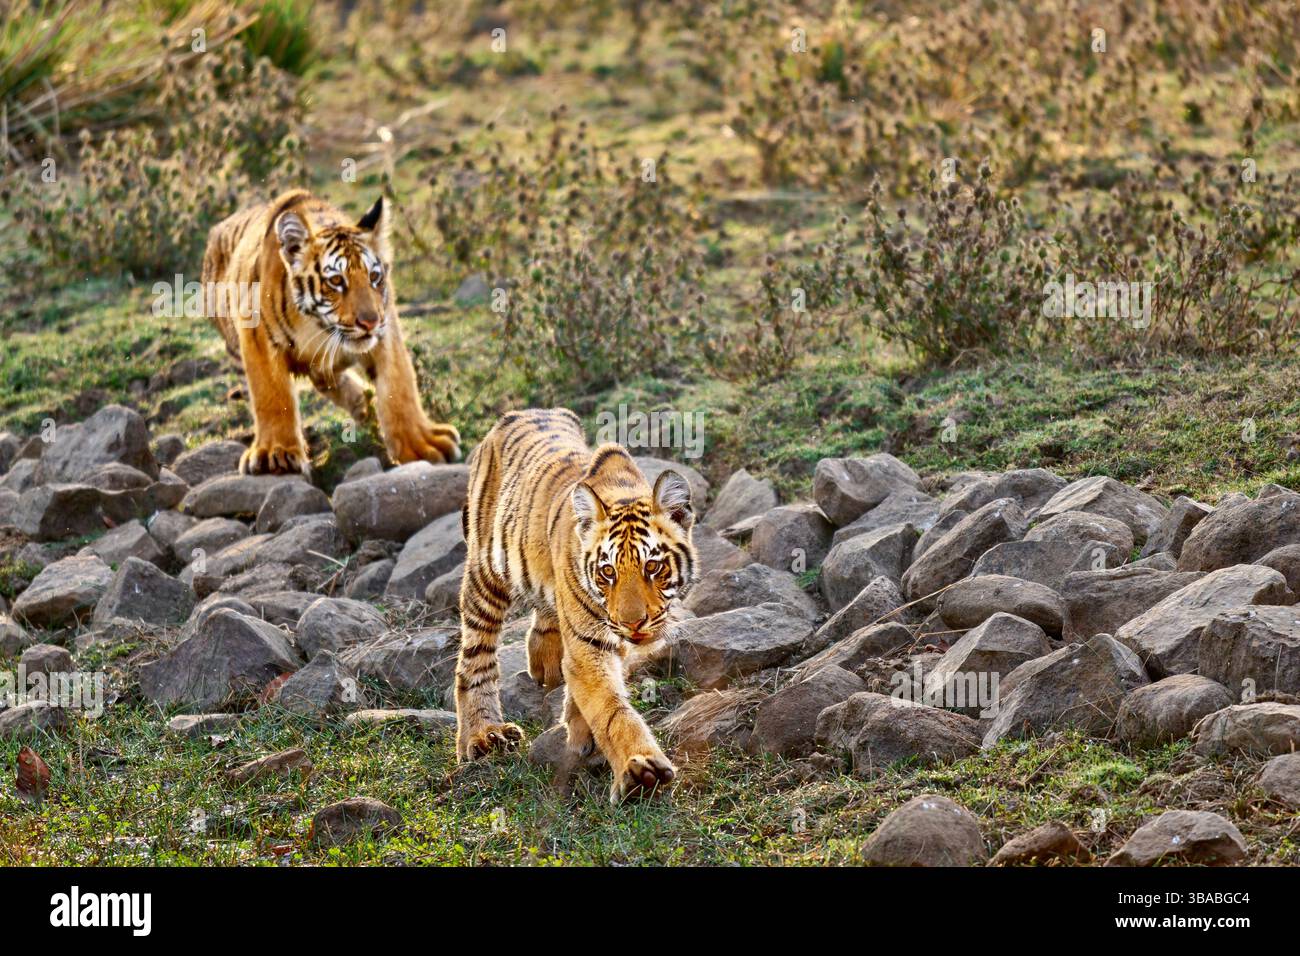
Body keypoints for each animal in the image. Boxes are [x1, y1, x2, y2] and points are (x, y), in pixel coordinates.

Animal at [201, 189, 460, 474]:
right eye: (336, 281)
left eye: (374, 277)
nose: (370, 322)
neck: (318, 327)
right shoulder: (257, 335)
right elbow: (270, 394)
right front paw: (275, 454)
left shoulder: (386, 329)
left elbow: (398, 385)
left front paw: (421, 445)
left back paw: (365, 405)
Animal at [454, 408, 697, 803]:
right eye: (608, 571)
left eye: (653, 566)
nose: (633, 623)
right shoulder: (590, 645)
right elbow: (611, 709)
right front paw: (640, 769)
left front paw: (579, 728)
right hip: (485, 573)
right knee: (475, 658)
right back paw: (482, 734)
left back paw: (545, 664)